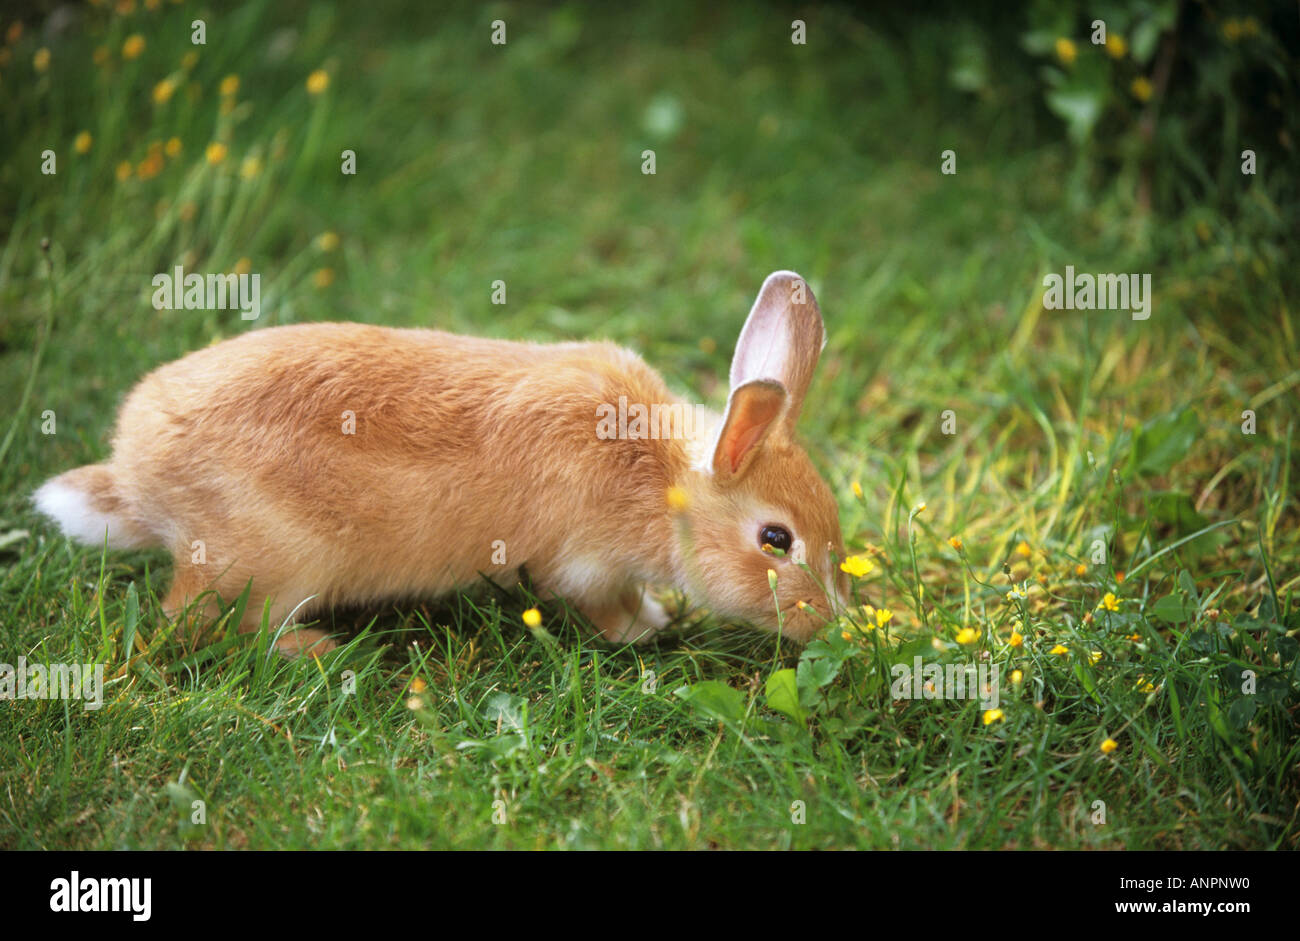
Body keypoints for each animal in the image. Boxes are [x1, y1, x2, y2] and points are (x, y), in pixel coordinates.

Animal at [34, 270, 847, 656]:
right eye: (776, 540)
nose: (835, 623)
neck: (662, 478)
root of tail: (135, 477)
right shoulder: (585, 565)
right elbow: (602, 603)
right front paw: (647, 626)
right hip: (271, 561)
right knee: (196, 619)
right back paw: (313, 649)